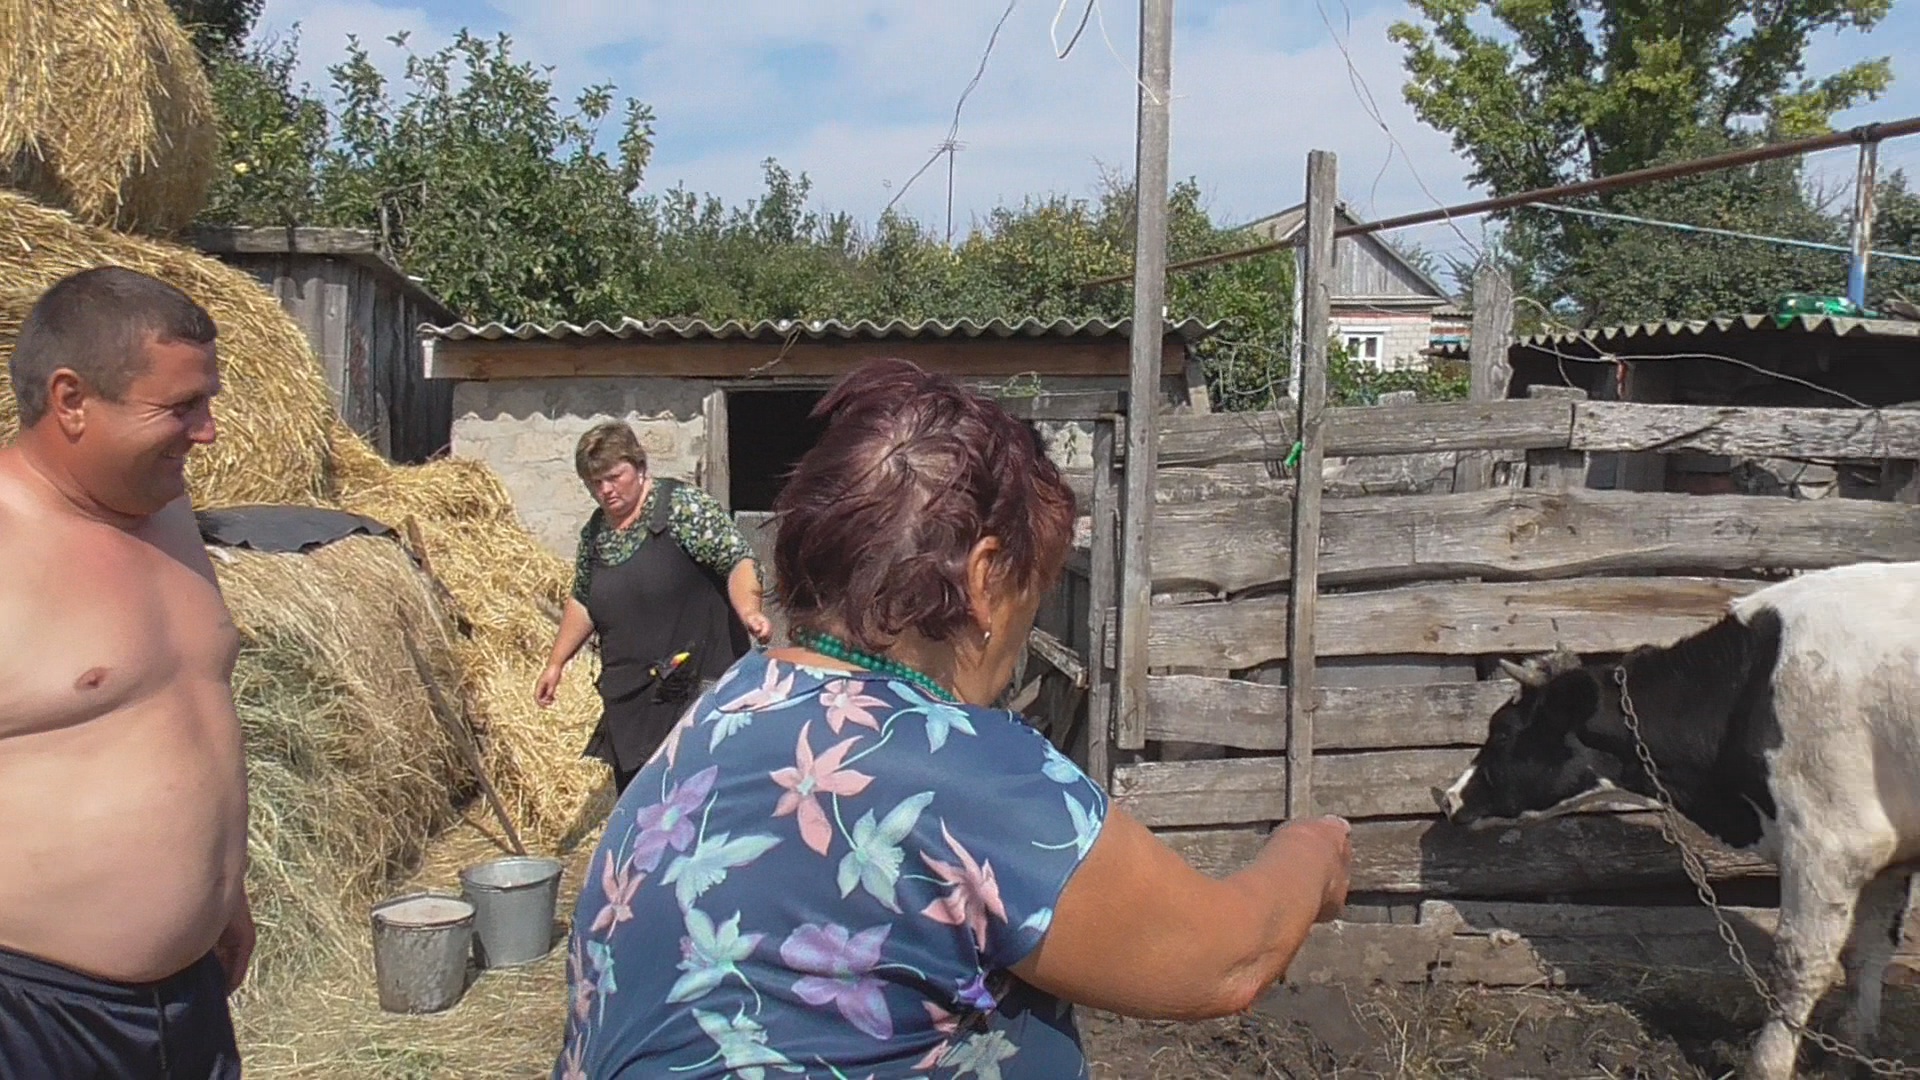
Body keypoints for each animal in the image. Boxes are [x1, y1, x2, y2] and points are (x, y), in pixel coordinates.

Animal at [1436, 557, 1920, 1068]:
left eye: (1503, 730)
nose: (1448, 798)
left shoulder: (1828, 843)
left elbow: (1798, 965)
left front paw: (1764, 1064)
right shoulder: (1891, 852)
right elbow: (1867, 954)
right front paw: (1852, 1052)